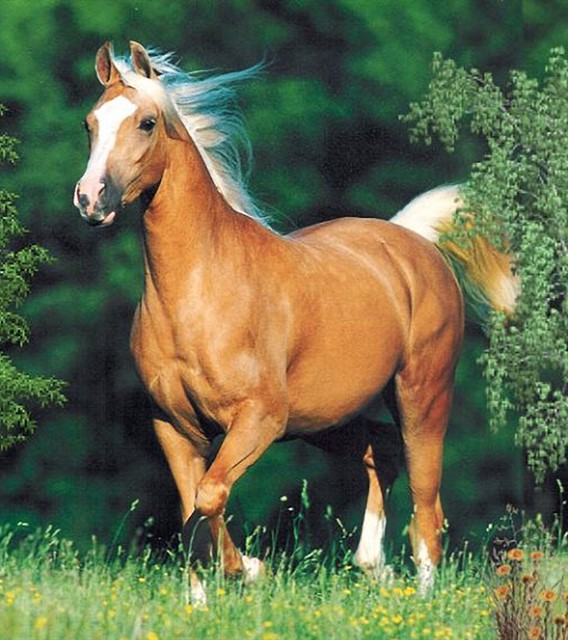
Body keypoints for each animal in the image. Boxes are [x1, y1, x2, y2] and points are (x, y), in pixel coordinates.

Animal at [73, 41, 518, 601]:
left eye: (147, 122)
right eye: (90, 123)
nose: (90, 198)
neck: (200, 289)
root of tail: (413, 240)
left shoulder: (260, 418)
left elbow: (211, 495)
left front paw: (250, 569)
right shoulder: (174, 425)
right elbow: (193, 509)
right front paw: (200, 601)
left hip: (422, 397)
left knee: (427, 506)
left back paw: (422, 596)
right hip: (325, 418)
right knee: (383, 451)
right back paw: (372, 565)